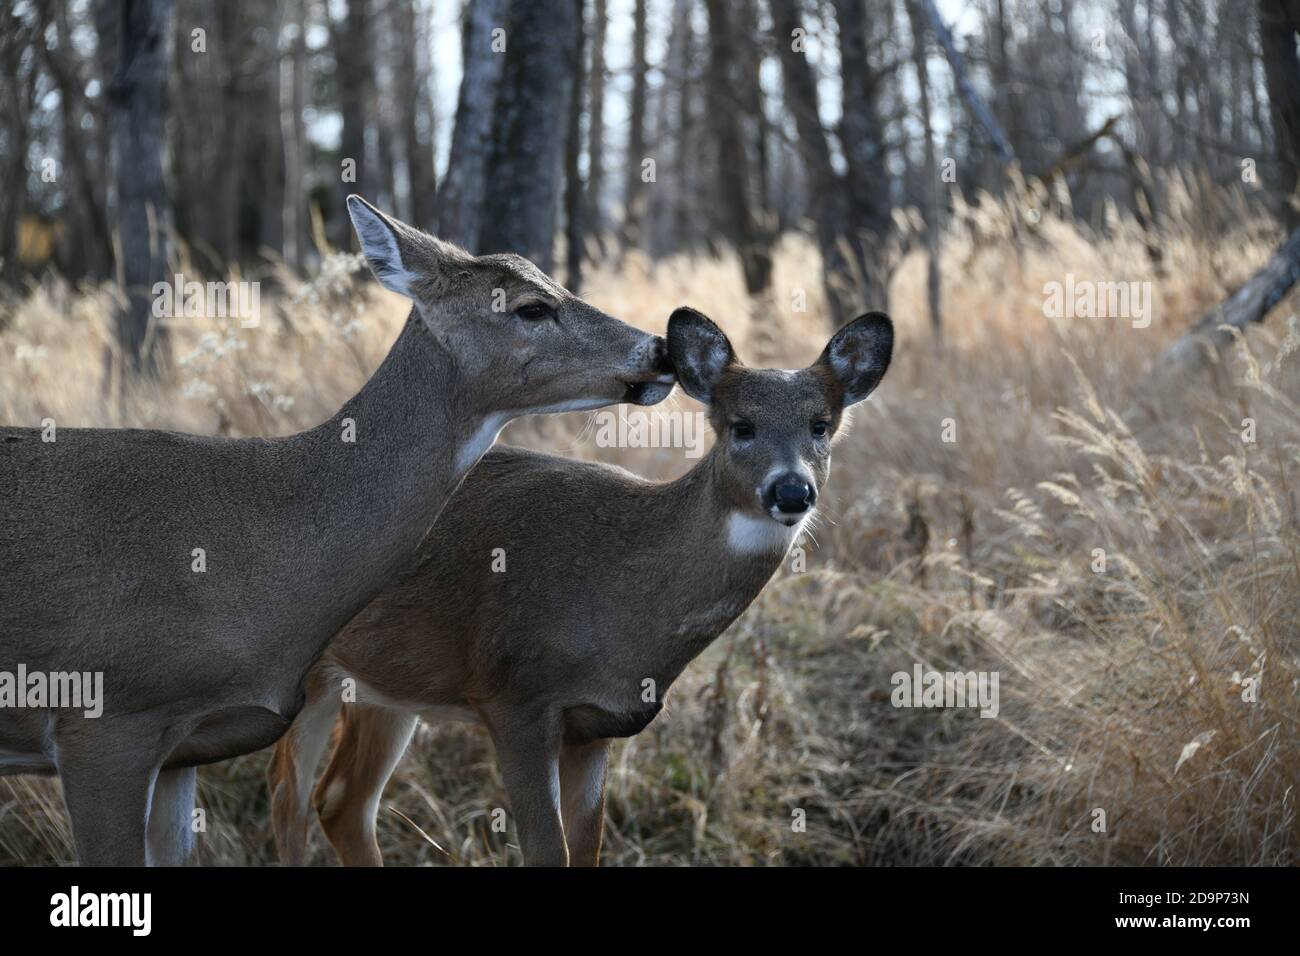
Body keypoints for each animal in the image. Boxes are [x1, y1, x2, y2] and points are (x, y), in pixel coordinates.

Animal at [268, 307, 894, 866]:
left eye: (821, 425)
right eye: (741, 426)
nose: (791, 490)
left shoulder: (595, 727)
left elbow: (587, 849)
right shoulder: (513, 698)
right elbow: (549, 851)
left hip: (384, 683)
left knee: (337, 802)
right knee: (290, 798)